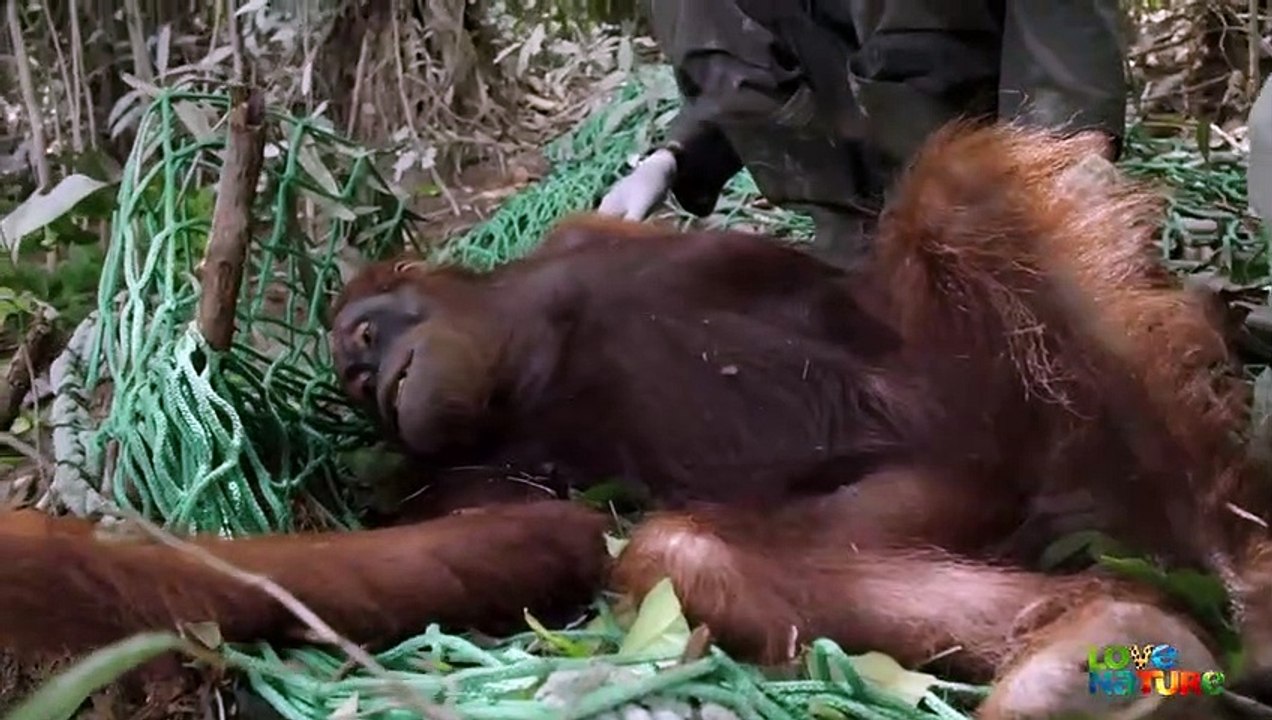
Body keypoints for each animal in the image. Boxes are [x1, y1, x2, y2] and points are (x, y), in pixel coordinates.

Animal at [0, 122, 1266, 719]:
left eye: (362, 339)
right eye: (354, 383)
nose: (372, 374)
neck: (532, 359)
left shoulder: (603, 247)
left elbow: (849, 271)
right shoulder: (483, 478)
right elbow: (526, 544)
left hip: (998, 425)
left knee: (960, 200)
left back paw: (1224, 565)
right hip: (963, 497)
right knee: (683, 552)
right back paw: (1109, 644)